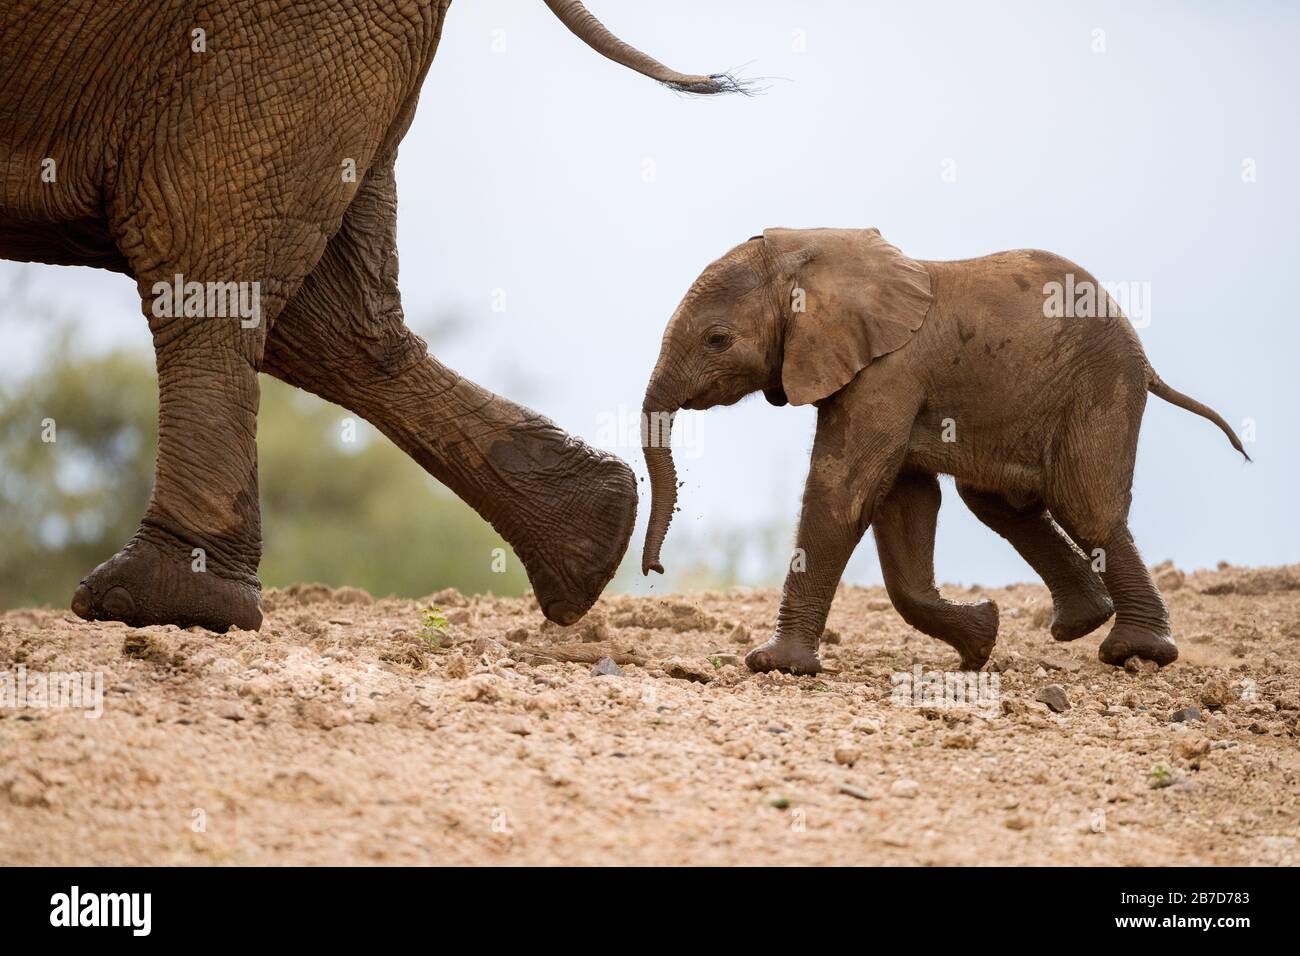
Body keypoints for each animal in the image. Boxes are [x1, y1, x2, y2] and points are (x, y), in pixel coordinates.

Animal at [640, 228, 1248, 673]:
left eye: (718, 340)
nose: (655, 569)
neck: (809, 254)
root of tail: (1146, 359)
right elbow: (901, 504)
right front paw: (981, 639)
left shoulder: (888, 372)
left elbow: (843, 491)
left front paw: (775, 665)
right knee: (1001, 507)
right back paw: (1080, 625)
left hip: (1099, 389)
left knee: (1086, 508)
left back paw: (1135, 653)